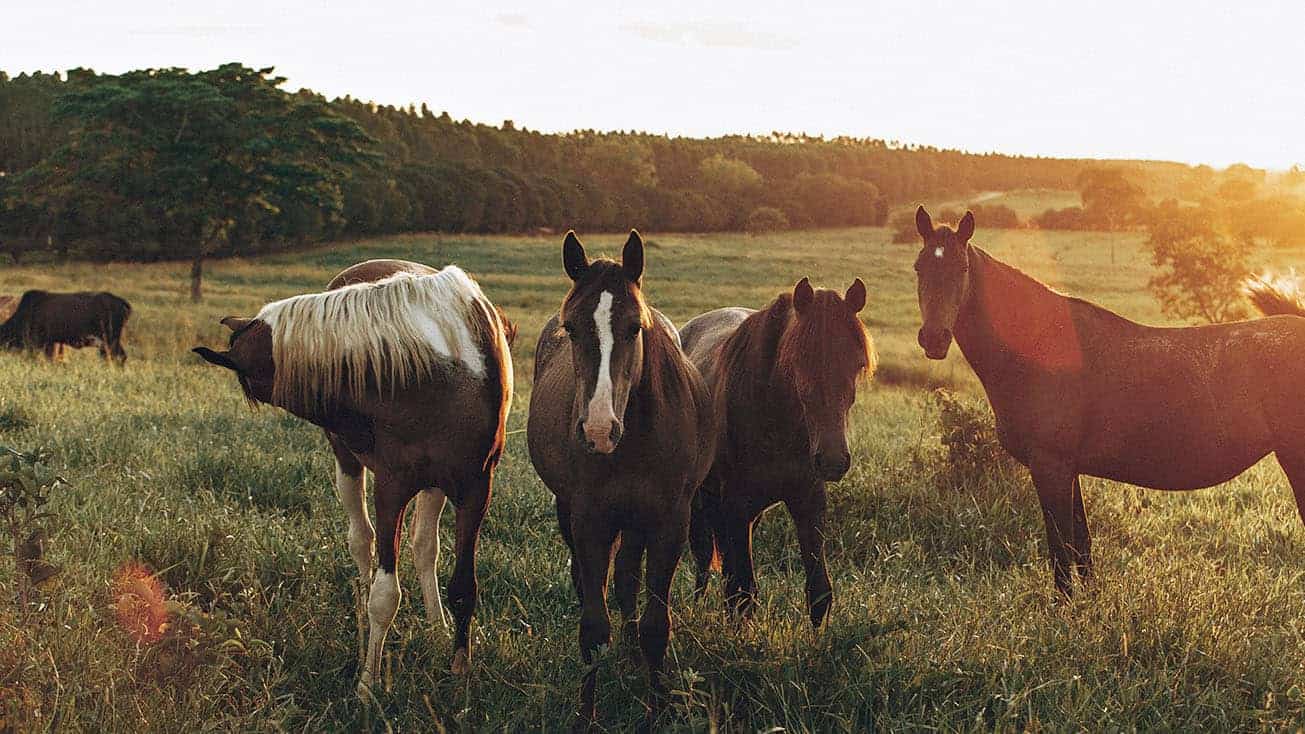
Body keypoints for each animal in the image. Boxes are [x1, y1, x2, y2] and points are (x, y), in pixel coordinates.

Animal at [193, 259, 514, 693]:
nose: (347, 425)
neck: (442, 368)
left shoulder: (475, 488)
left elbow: (464, 586)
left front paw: (459, 670)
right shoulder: (391, 488)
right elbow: (384, 593)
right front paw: (368, 682)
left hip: (434, 484)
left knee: (423, 547)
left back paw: (435, 627)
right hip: (350, 466)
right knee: (362, 544)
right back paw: (364, 626)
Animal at [527, 231, 714, 728]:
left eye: (634, 327)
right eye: (572, 328)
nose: (597, 430)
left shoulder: (669, 523)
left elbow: (655, 624)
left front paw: (658, 708)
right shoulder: (590, 520)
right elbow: (593, 626)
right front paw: (585, 715)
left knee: (629, 578)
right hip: (573, 512)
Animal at [680, 278, 875, 628]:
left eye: (858, 364)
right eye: (799, 361)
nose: (833, 460)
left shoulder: (807, 501)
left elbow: (819, 591)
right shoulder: (736, 503)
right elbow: (743, 592)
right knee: (704, 559)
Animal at [912, 206, 1305, 596]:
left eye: (962, 268)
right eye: (919, 267)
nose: (933, 338)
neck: (1040, 349)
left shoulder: (1050, 466)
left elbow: (1061, 549)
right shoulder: (1069, 469)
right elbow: (1080, 546)